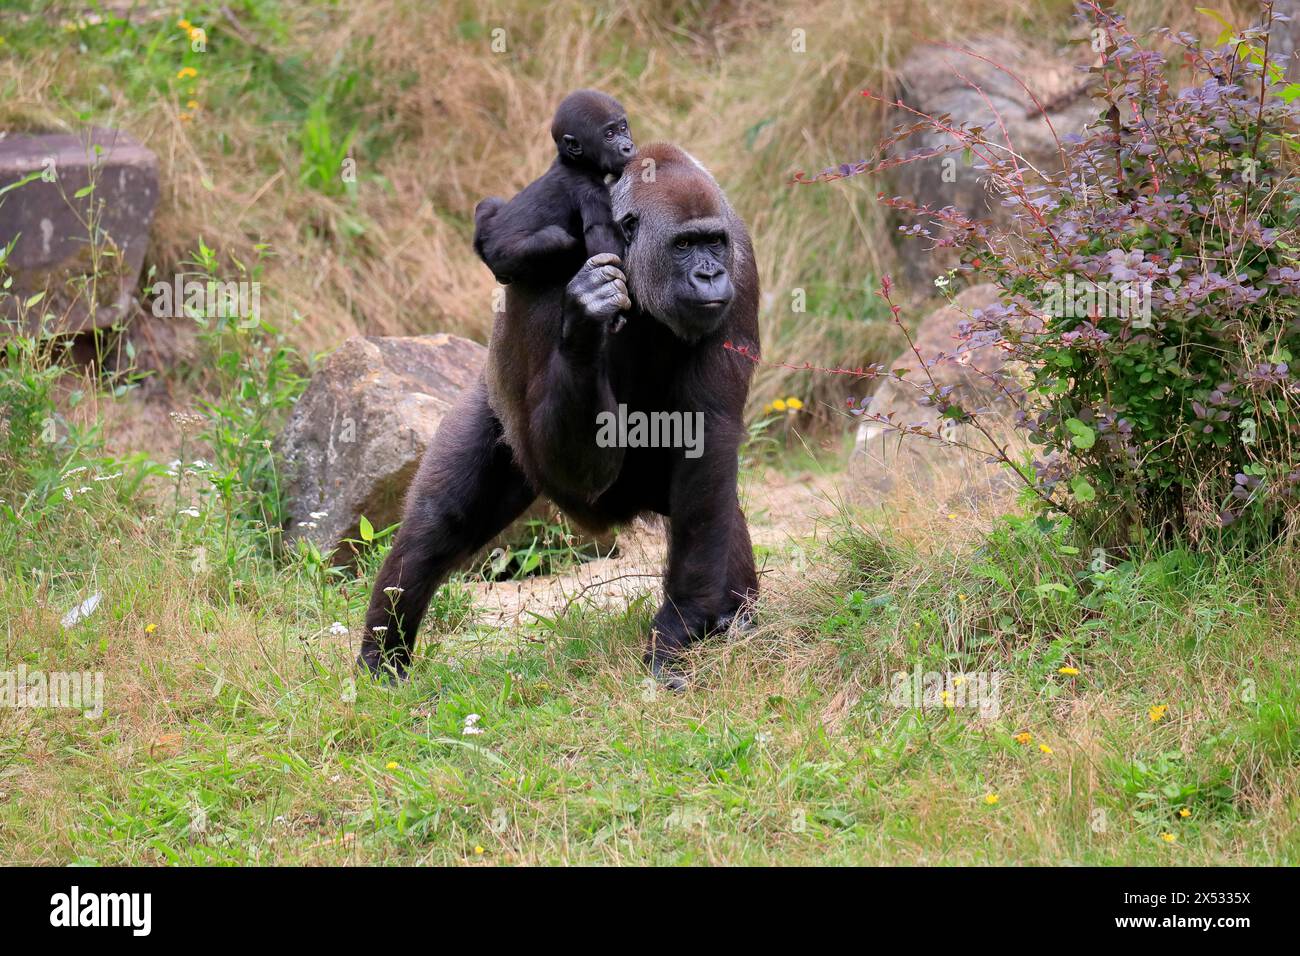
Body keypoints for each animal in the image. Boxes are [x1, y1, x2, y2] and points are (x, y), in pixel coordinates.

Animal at [361, 142, 759, 690]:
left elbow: (708, 444)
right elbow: (571, 461)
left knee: (711, 503)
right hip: (496, 412)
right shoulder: (550, 267)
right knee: (437, 525)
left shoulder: (742, 270)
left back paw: (734, 622)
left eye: (714, 244)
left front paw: (679, 627)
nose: (709, 274)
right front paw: (589, 316)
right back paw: (381, 656)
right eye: (684, 245)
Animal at [472, 89, 634, 288]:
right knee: (556, 240)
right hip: (501, 257)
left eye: (623, 128)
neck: (576, 163)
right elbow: (604, 249)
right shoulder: (591, 190)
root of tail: (484, 247)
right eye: (609, 134)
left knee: (488, 203)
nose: (628, 147)